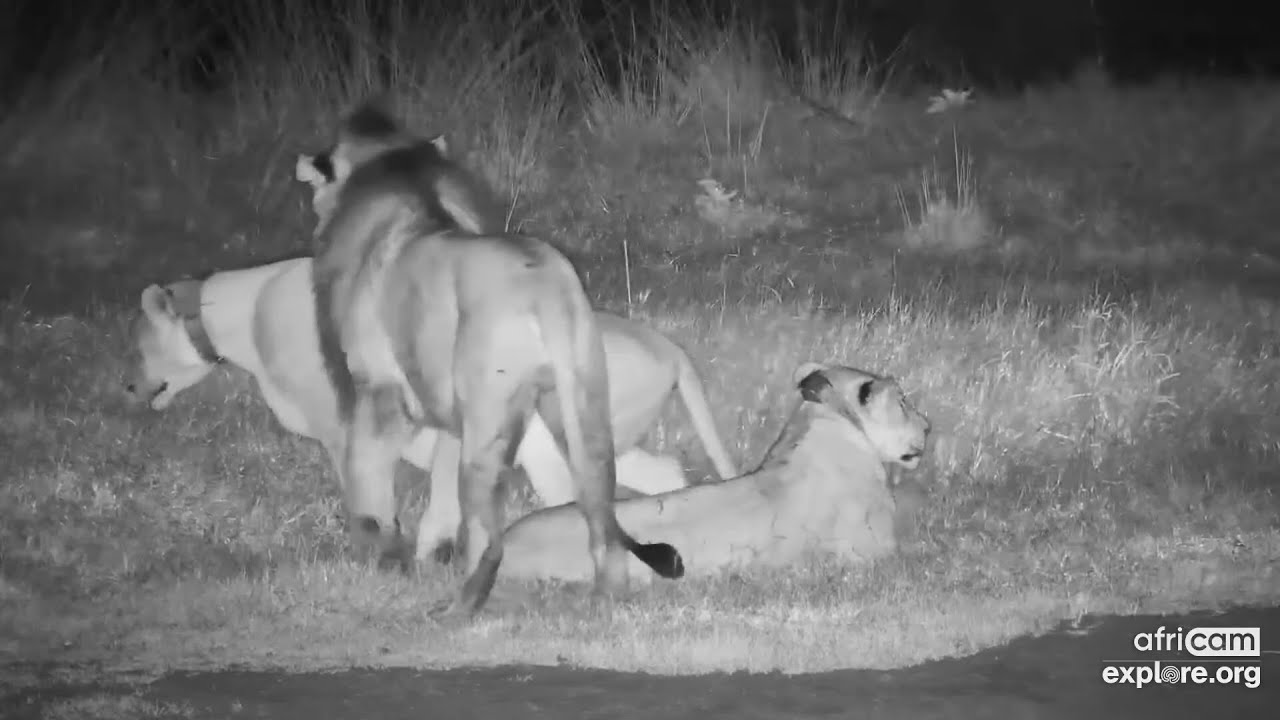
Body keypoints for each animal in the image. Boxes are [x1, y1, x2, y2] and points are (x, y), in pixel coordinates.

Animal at [123, 256, 740, 565]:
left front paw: (389, 553)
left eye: (140, 343)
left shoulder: (349, 427)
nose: (128, 386)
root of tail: (666, 344)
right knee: (662, 476)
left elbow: (373, 493)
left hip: (550, 434)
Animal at [309, 100, 683, 615]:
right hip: (581, 406)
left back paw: (458, 611)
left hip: (489, 417)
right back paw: (606, 597)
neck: (398, 167)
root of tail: (545, 283)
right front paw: (427, 551)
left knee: (490, 538)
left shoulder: (378, 388)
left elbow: (366, 474)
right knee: (600, 516)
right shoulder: (444, 405)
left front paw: (381, 555)